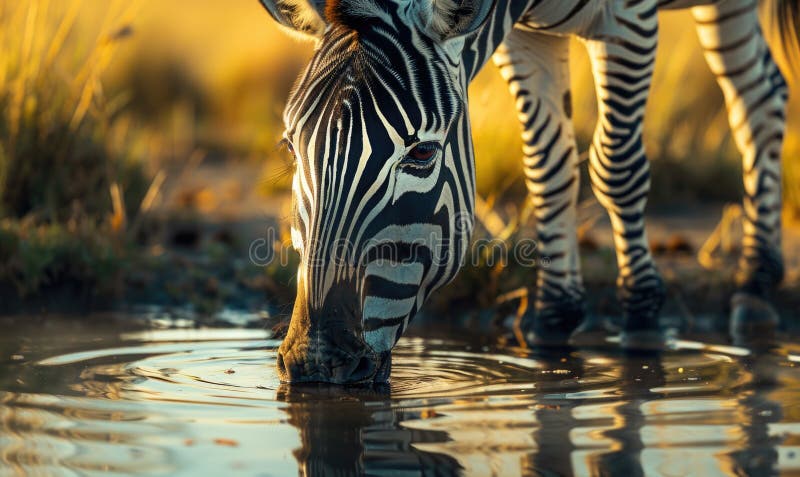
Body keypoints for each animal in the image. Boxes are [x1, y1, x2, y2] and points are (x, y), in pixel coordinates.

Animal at [257, 0, 799, 383]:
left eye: (422, 154)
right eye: (290, 146)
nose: (315, 363)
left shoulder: (630, 19)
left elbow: (616, 167)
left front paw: (641, 316)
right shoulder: (524, 37)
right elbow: (548, 166)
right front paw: (555, 319)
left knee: (757, 98)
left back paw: (755, 283)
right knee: (763, 94)